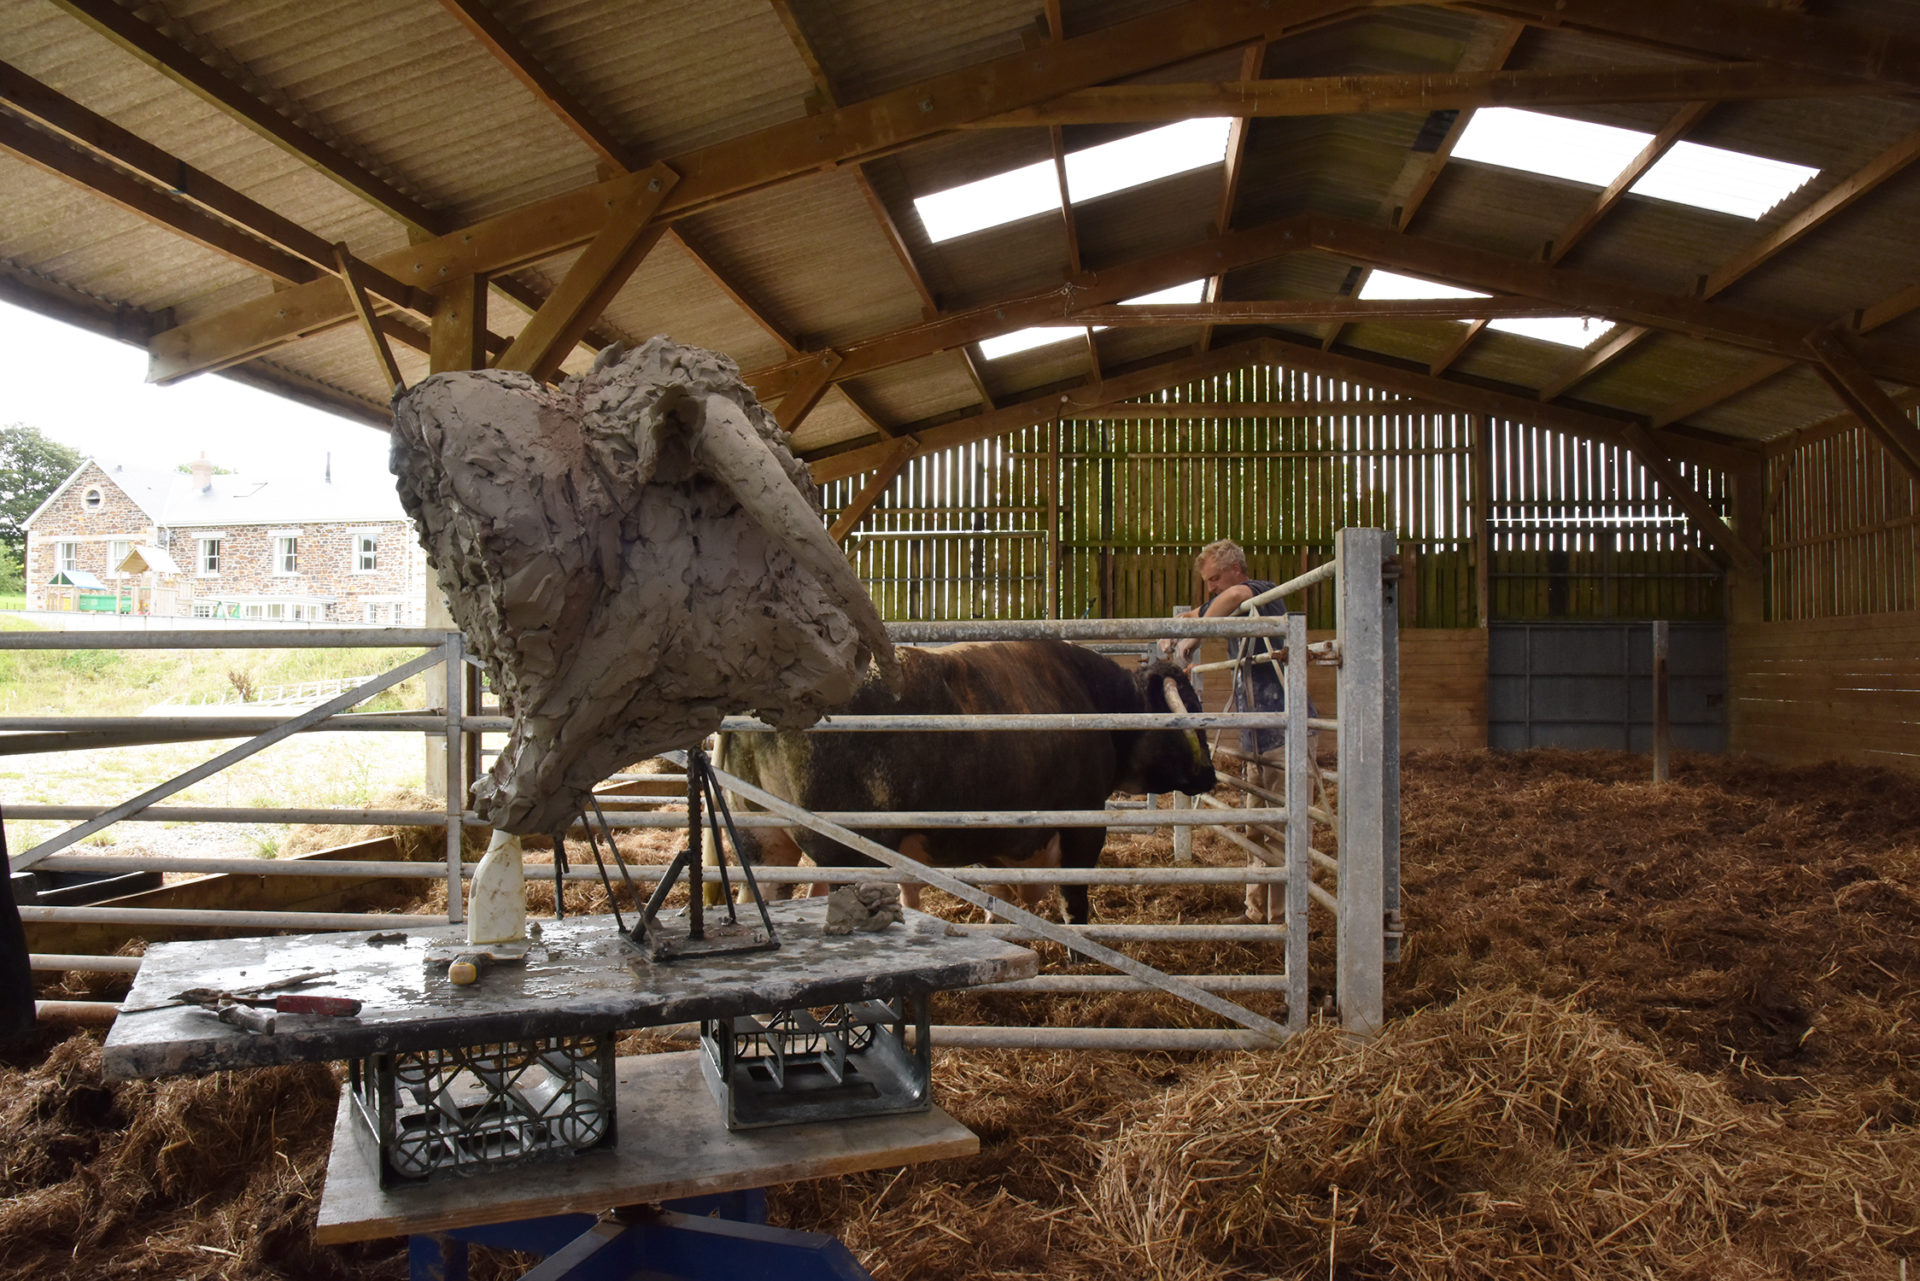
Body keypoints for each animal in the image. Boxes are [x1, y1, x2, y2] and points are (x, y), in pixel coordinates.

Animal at [712, 638, 1216, 924]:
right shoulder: (1082, 822)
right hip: (848, 854)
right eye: (1191, 711)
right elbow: (1073, 899)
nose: (1210, 776)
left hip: (765, 842)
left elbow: (1003, 897)